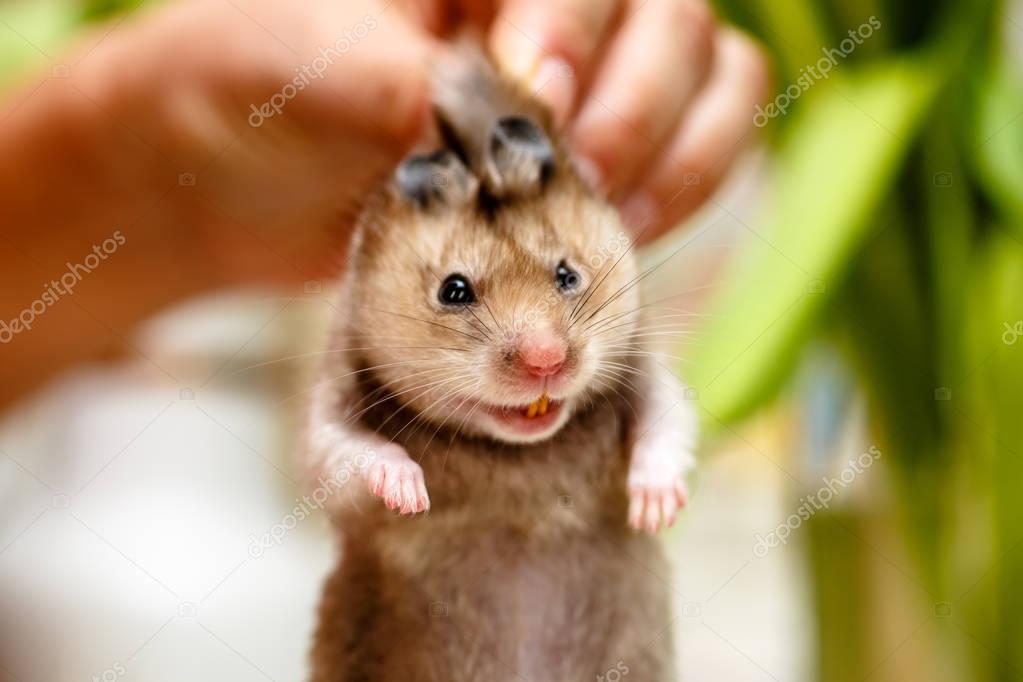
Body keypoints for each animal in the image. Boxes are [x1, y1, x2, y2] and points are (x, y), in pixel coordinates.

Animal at [303, 47, 696, 682]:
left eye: (568, 274)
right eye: (454, 290)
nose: (547, 361)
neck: (516, 452)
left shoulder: (645, 369)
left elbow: (666, 424)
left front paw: (655, 510)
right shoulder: (332, 405)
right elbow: (352, 451)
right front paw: (411, 494)